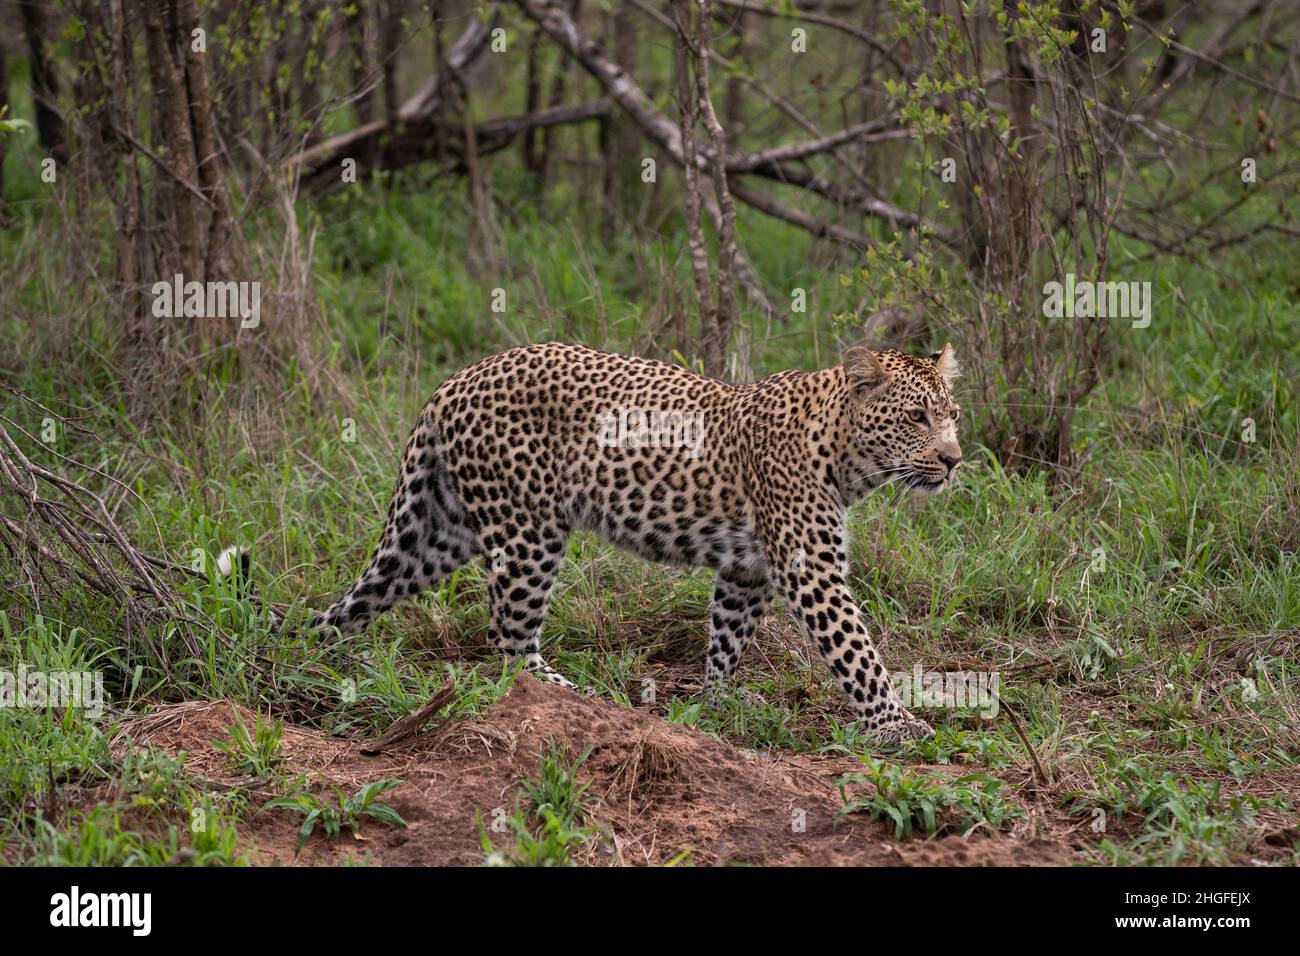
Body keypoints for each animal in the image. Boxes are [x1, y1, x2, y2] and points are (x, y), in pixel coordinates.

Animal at [227, 341, 964, 744]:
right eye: (915, 417)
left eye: (951, 415)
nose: (955, 459)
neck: (845, 456)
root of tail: (453, 380)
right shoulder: (812, 570)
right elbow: (857, 651)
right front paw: (896, 723)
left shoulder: (746, 569)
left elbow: (727, 632)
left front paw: (719, 697)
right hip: (529, 528)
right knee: (508, 642)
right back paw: (569, 691)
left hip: (436, 532)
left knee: (359, 601)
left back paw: (309, 656)